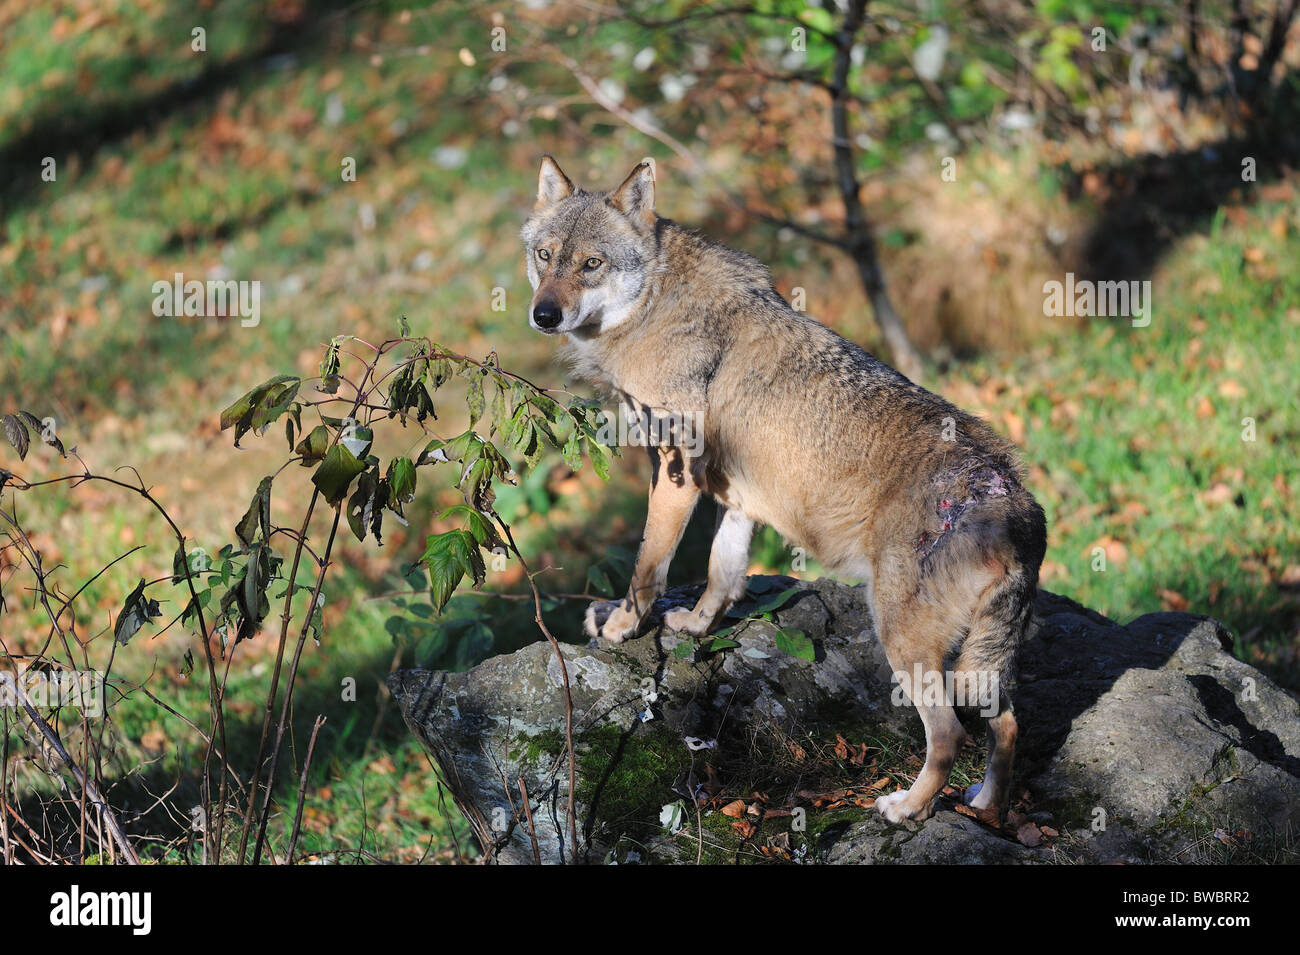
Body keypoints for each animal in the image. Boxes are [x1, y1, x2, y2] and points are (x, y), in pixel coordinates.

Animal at [520, 156, 1047, 824]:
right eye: (545, 256)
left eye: (591, 264)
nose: (543, 314)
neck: (652, 306)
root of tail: (1015, 507)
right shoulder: (738, 500)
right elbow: (722, 573)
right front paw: (695, 626)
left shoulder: (674, 473)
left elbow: (648, 567)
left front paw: (620, 626)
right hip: (979, 668)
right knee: (1007, 726)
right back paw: (986, 807)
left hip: (904, 645)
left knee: (950, 734)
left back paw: (906, 808)